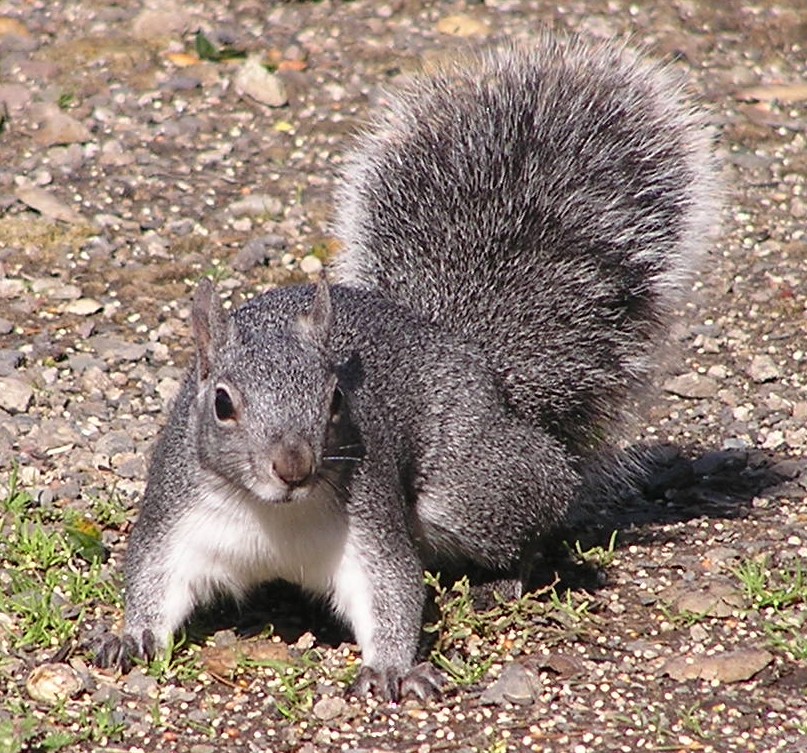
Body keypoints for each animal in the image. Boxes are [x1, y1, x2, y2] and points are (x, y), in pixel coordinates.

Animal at [95, 34, 721, 701]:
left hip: (470, 488)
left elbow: (392, 588)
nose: (294, 467)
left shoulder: (369, 521)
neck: (272, 515)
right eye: (221, 403)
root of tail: (474, 360)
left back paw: (504, 577)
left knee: (540, 512)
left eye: (336, 400)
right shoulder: (177, 516)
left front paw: (393, 669)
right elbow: (154, 578)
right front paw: (128, 638)